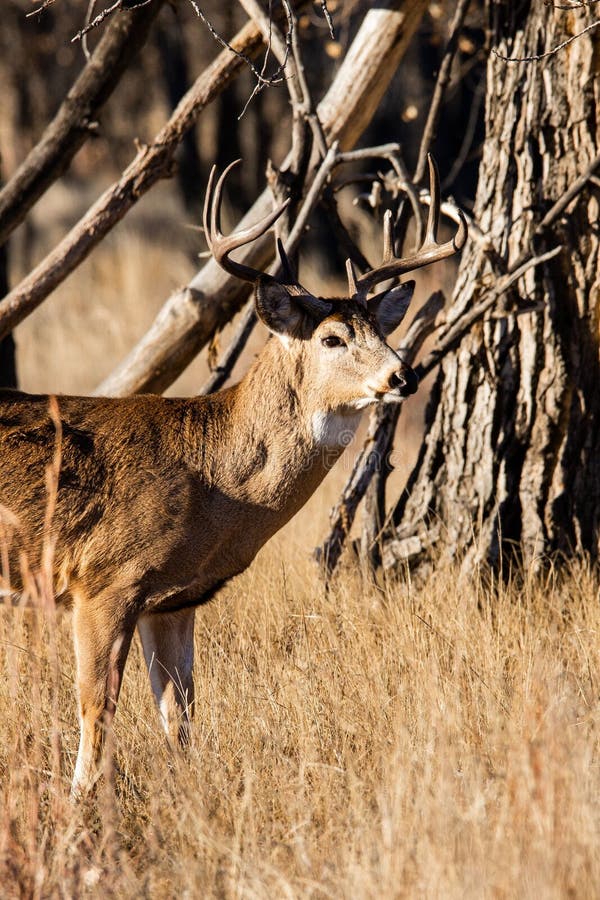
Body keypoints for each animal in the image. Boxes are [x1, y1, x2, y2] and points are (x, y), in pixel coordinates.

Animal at [0, 157, 466, 795]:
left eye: (383, 330)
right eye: (332, 337)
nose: (404, 375)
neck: (212, 479)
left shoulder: (172, 600)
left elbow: (181, 718)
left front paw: (186, 796)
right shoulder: (103, 580)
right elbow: (96, 709)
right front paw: (82, 807)